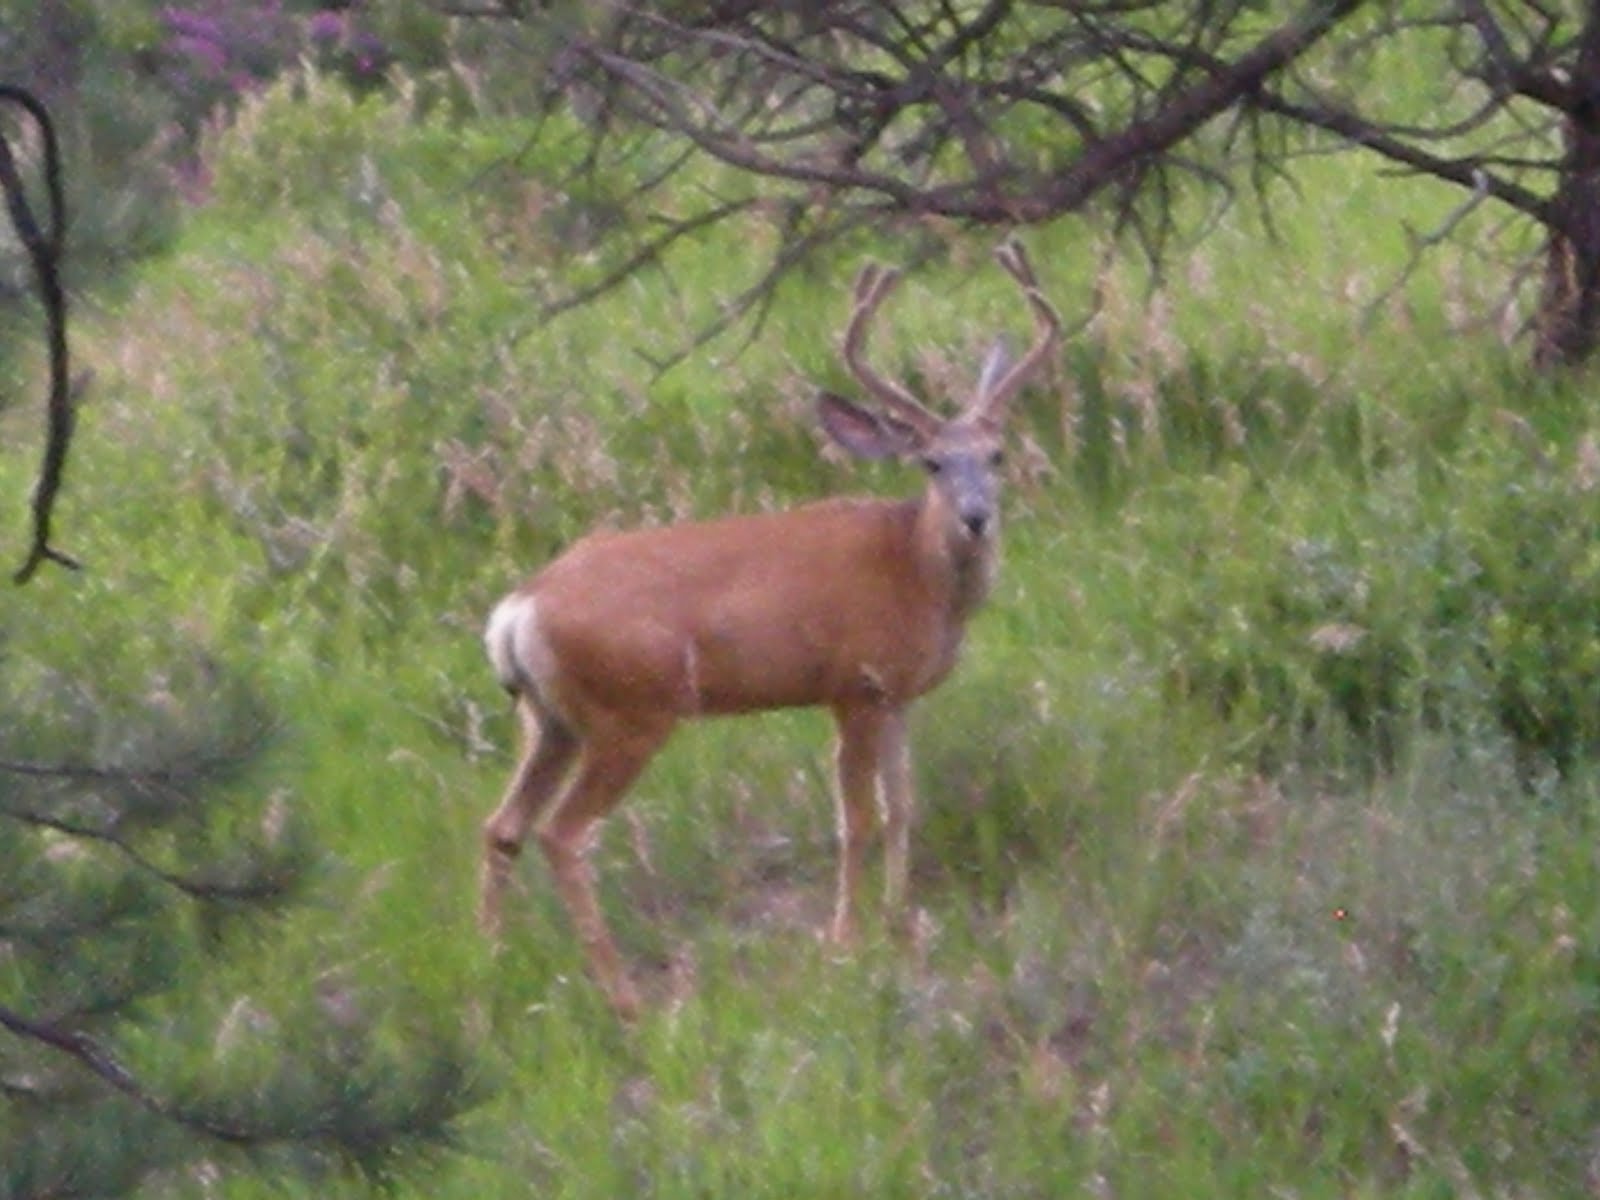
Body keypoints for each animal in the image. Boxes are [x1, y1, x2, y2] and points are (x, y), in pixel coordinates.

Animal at [479, 239, 1061, 1018]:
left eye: (996, 456)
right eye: (932, 462)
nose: (976, 517)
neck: (914, 571)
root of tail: (521, 607)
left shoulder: (898, 696)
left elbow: (903, 807)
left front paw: (899, 927)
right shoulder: (853, 685)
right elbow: (858, 818)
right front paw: (845, 942)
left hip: (550, 721)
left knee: (503, 827)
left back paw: (488, 973)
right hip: (629, 713)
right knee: (563, 835)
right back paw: (626, 999)